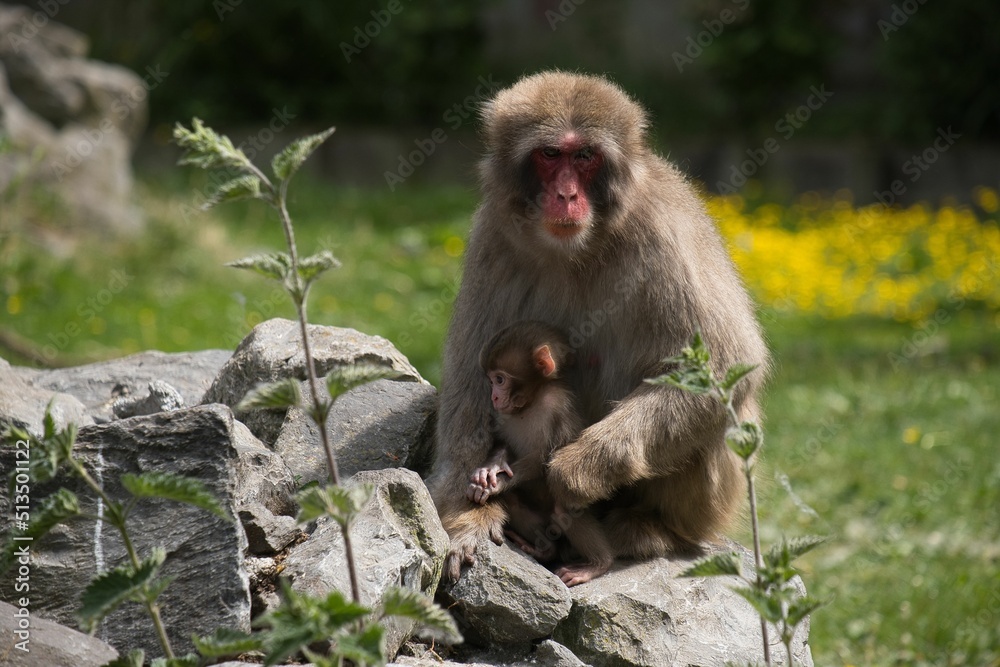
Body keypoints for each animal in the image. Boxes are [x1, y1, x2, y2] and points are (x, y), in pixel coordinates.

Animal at [466, 320, 613, 586]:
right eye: (491, 381)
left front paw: (495, 484)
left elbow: (544, 460)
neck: (531, 402)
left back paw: (598, 564)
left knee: (564, 508)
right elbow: (504, 443)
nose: (493, 396)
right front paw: (489, 470)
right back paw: (545, 550)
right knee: (515, 503)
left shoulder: (558, 404)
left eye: (500, 379)